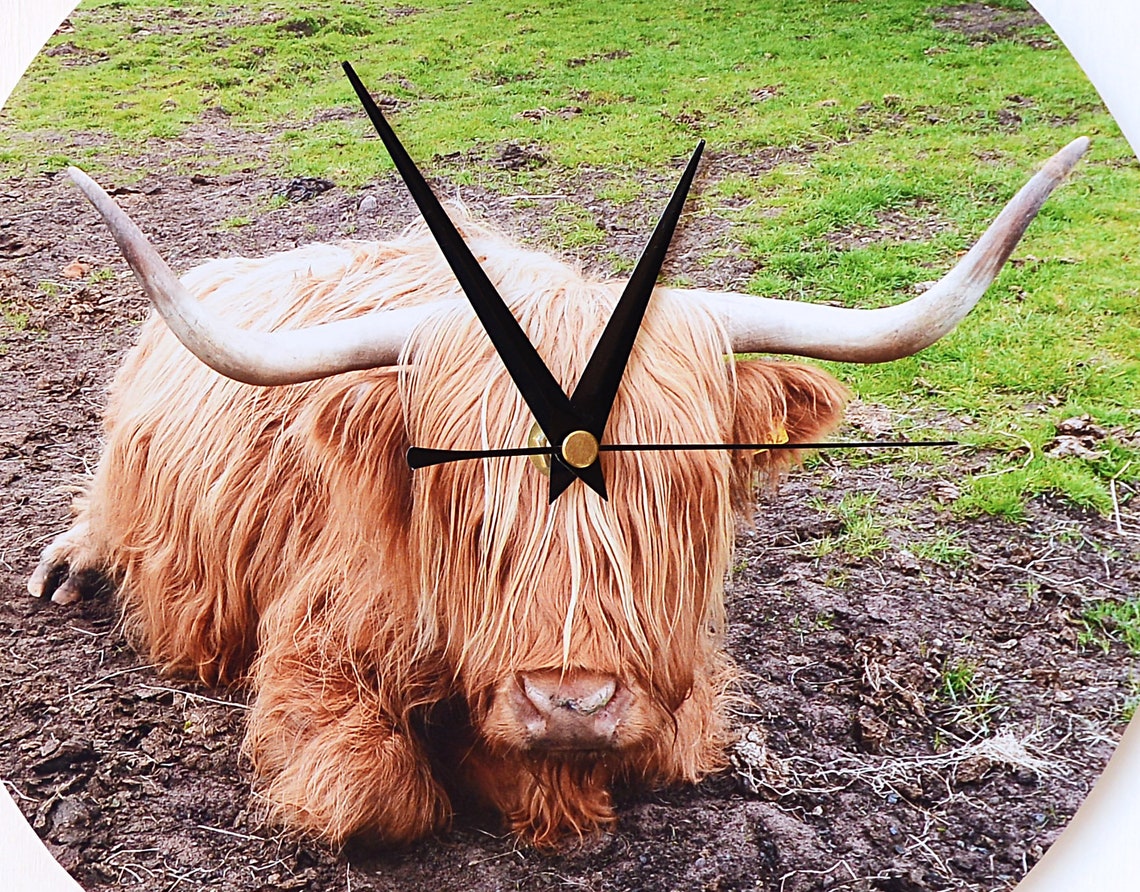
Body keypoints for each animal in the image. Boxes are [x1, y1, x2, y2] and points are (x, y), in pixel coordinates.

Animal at [28, 136, 1087, 848]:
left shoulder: (678, 684)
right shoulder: (316, 646)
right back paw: (68, 570)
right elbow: (376, 794)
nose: (570, 702)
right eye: (466, 492)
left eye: (674, 482)